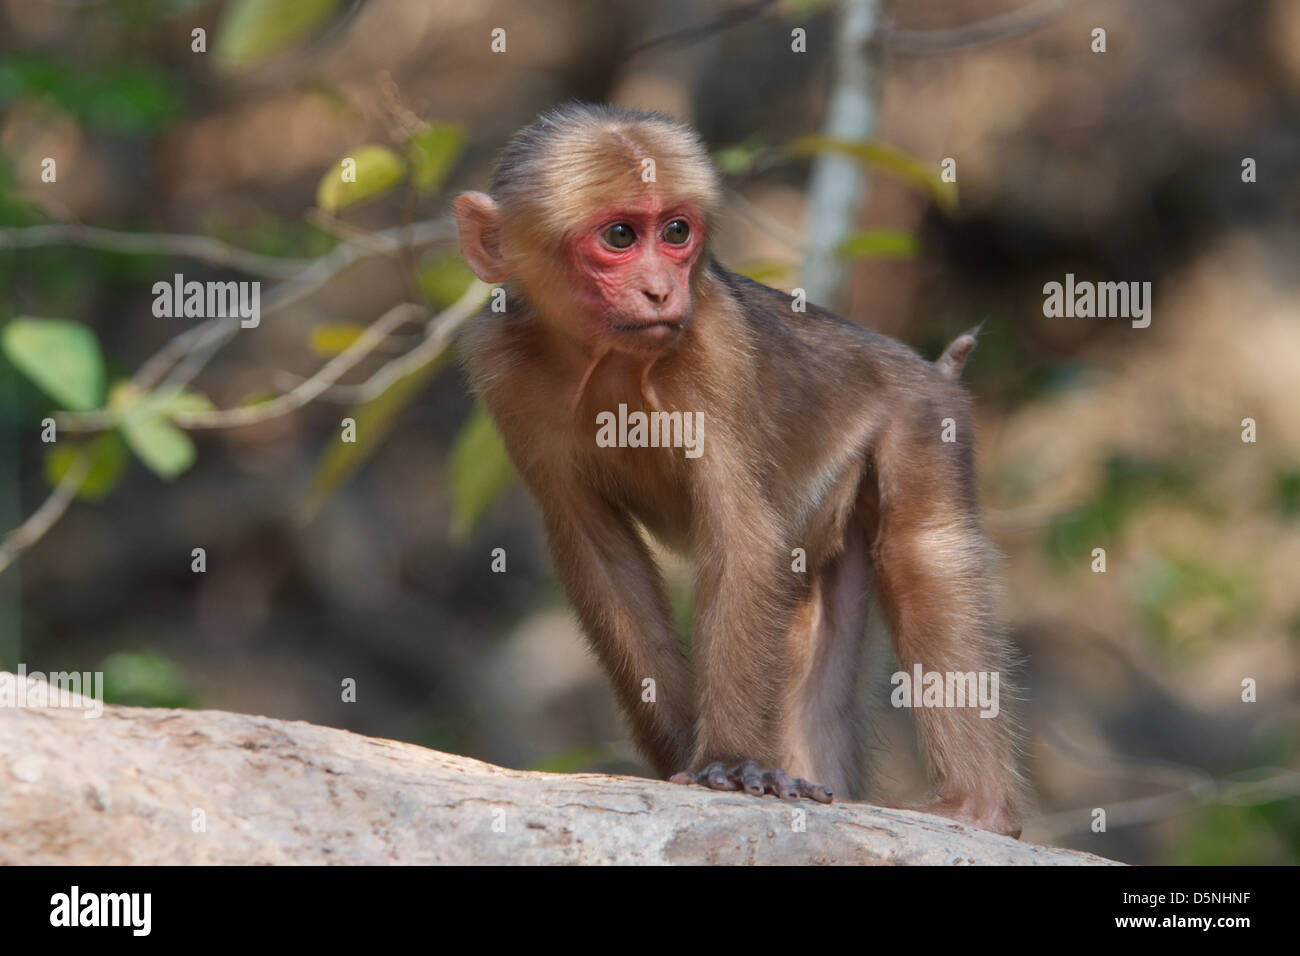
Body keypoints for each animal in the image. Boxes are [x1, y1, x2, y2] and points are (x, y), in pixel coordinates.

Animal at [454, 104, 1023, 837]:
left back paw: (979, 807)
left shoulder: (715, 342)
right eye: (619, 235)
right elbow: (598, 552)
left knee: (919, 554)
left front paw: (726, 760)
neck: (605, 360)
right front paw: (684, 756)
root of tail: (925, 368)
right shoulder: (501, 368)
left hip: (925, 415)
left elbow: (743, 536)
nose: (662, 289)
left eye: (676, 232)